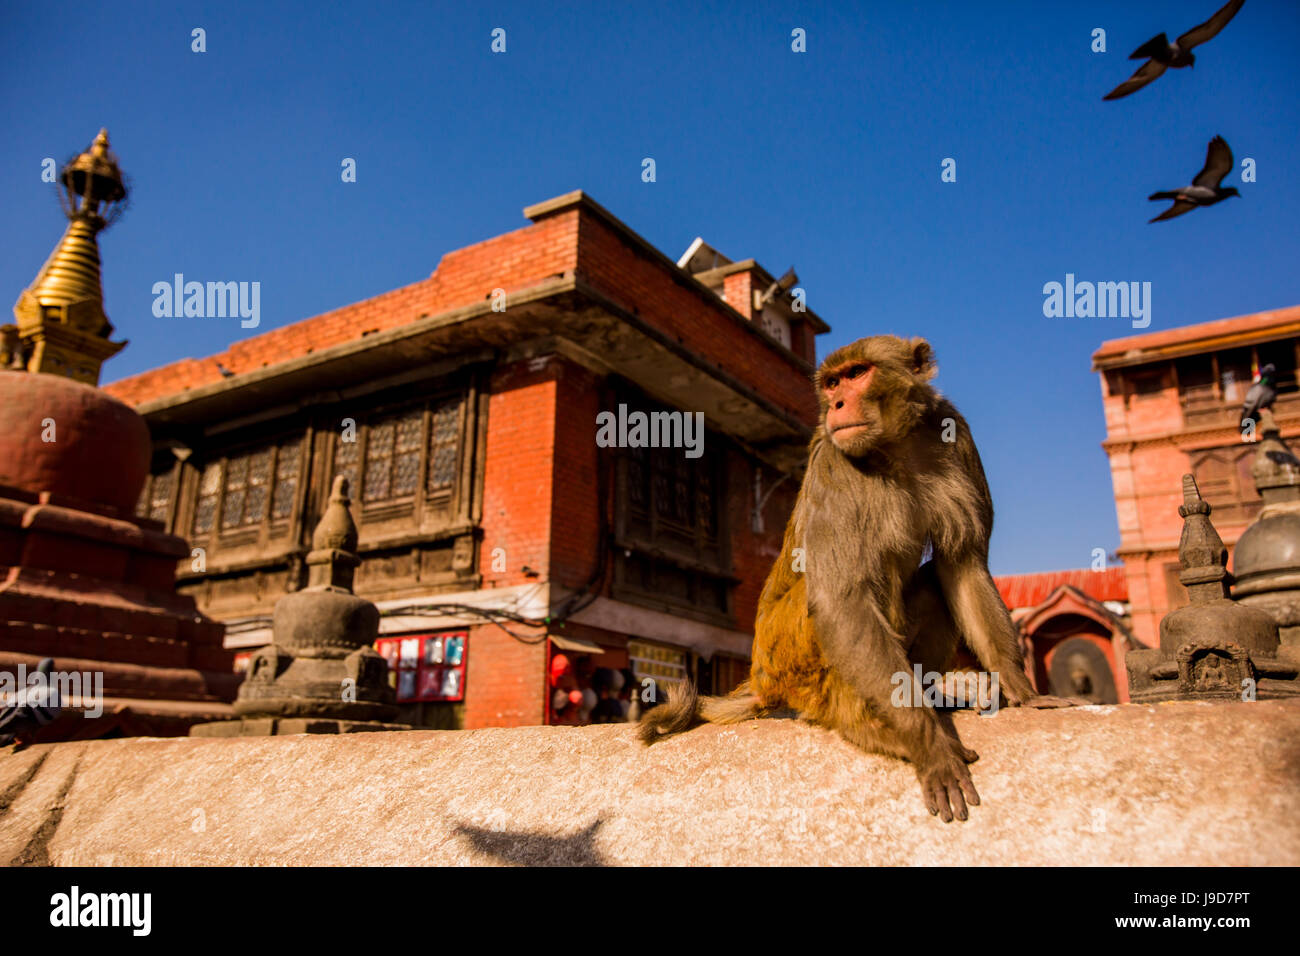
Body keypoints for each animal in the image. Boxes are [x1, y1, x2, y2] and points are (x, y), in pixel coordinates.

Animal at [640, 335, 1073, 822]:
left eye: (857, 373)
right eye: (832, 383)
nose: (837, 404)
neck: (896, 446)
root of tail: (761, 680)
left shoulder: (957, 435)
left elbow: (962, 565)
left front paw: (1021, 688)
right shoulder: (835, 460)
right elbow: (842, 599)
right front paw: (927, 743)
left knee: (930, 585)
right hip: (788, 655)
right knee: (838, 594)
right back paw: (866, 725)